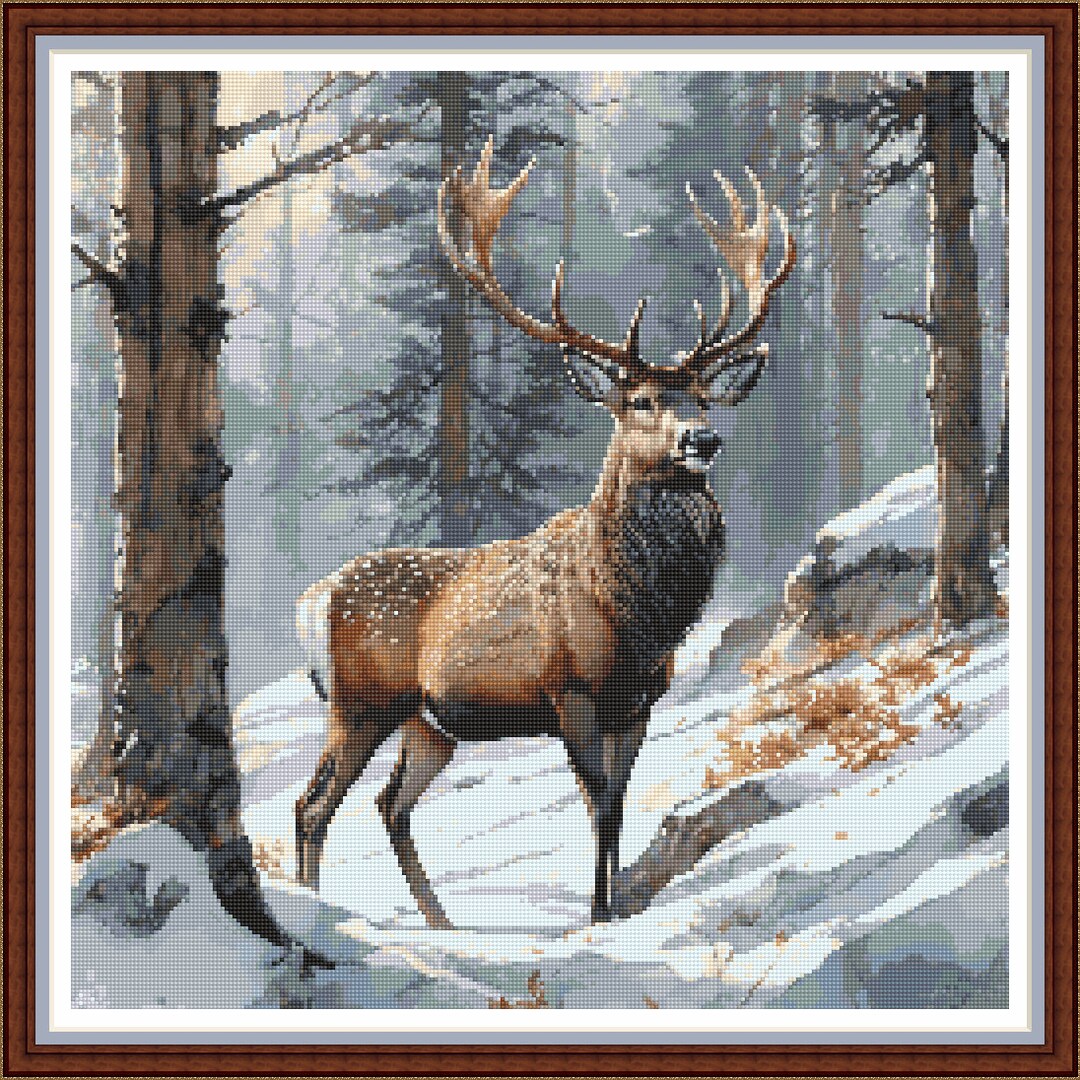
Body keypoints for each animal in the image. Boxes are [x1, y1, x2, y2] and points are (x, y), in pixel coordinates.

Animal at [294, 138, 795, 929]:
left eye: (703, 396)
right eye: (642, 400)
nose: (704, 439)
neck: (637, 612)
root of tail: (310, 601)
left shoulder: (639, 702)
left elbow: (617, 807)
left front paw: (616, 908)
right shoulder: (571, 689)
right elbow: (598, 808)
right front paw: (595, 916)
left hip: (429, 723)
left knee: (387, 804)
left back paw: (443, 921)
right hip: (360, 701)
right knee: (314, 806)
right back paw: (317, 907)